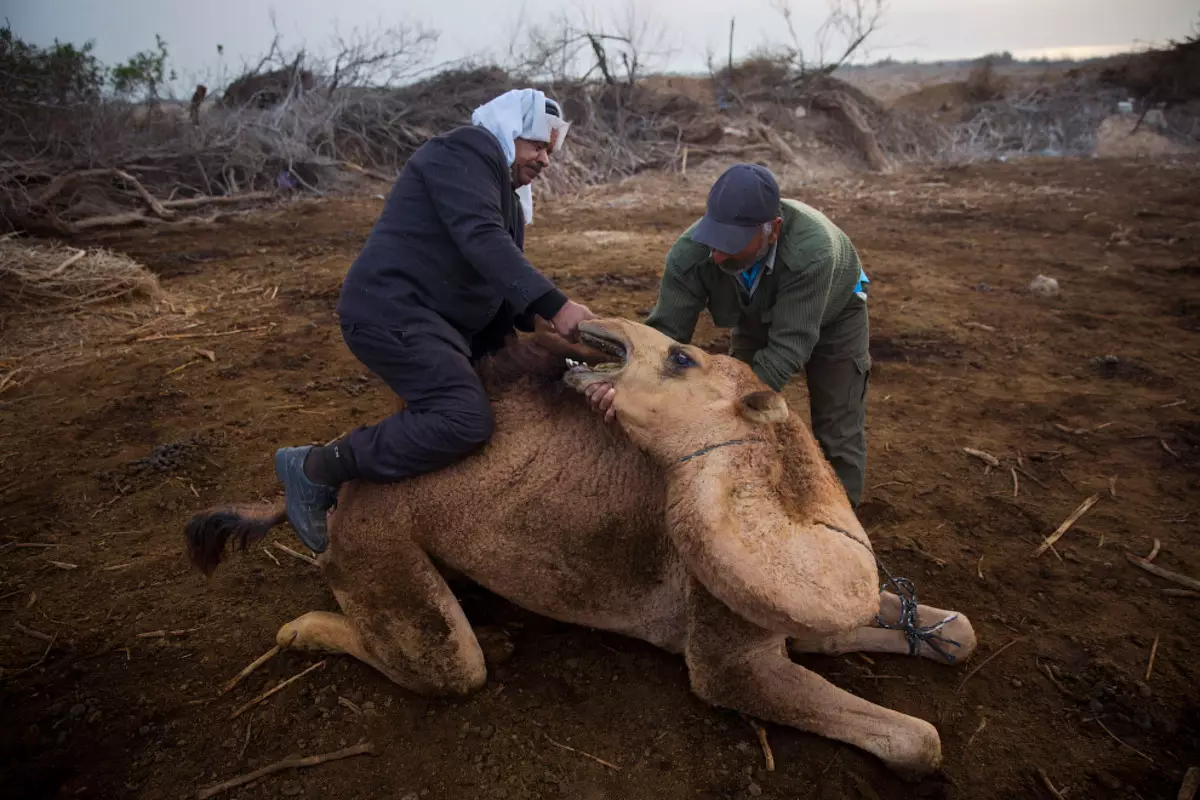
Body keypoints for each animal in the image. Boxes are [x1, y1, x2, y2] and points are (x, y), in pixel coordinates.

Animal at [187, 316, 974, 777]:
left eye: (681, 356)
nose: (600, 322)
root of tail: (335, 487)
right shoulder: (727, 653)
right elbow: (918, 740)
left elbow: (958, 632)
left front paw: (937, 634)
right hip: (377, 545)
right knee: (447, 666)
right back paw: (305, 631)